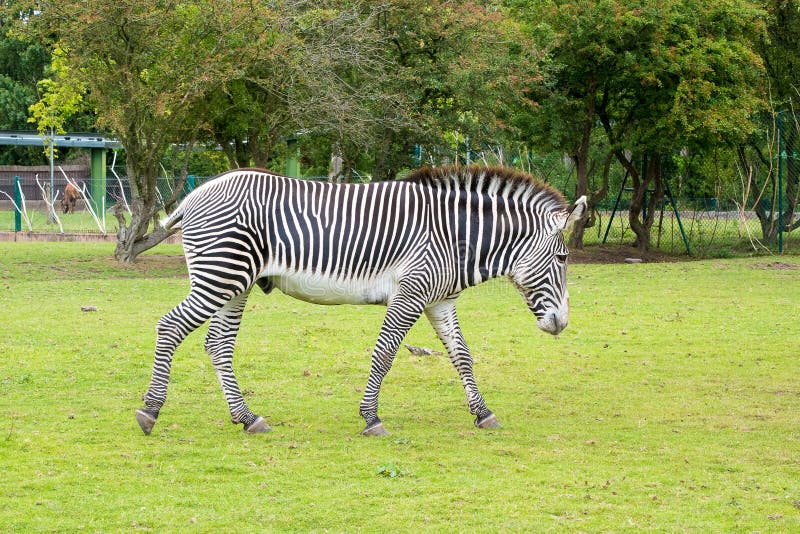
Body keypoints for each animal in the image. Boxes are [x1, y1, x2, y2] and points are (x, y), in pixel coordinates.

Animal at [135, 165, 587, 436]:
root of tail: (195, 195)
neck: (455, 237)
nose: (563, 323)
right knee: (170, 327)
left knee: (218, 344)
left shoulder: (440, 300)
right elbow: (385, 353)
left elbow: (462, 355)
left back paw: (246, 417)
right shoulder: (411, 293)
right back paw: (150, 411)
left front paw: (482, 412)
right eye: (563, 258)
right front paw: (371, 417)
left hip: (237, 282)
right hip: (221, 274)